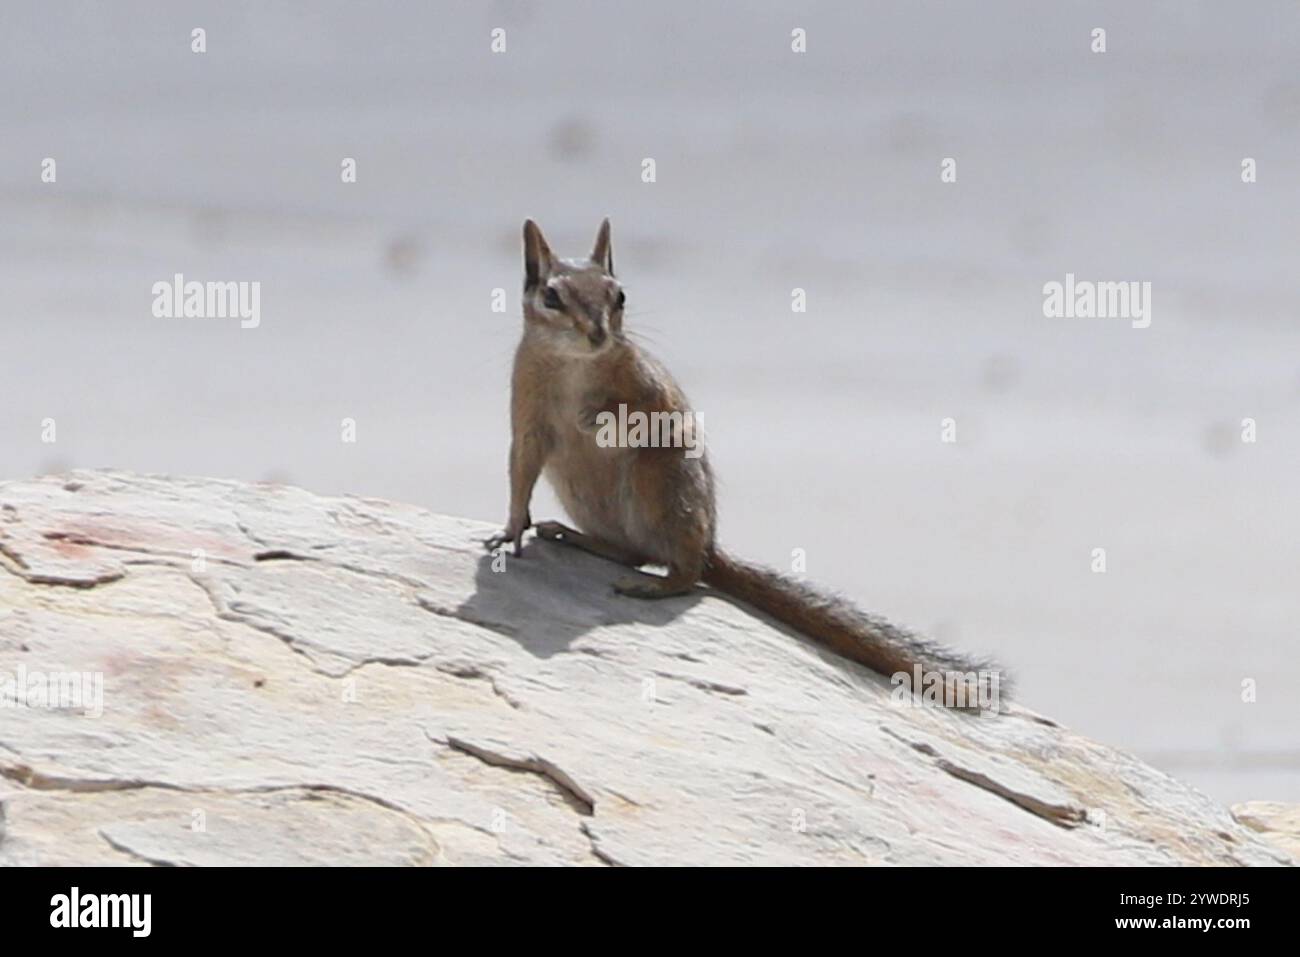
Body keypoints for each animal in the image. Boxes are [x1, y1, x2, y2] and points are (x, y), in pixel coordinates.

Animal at [485, 218, 1004, 703]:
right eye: (551, 296)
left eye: (620, 295)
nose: (597, 333)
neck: (575, 364)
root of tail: (710, 545)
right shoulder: (526, 413)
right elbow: (520, 470)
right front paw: (509, 532)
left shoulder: (649, 389)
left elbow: (640, 415)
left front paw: (598, 416)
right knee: (634, 552)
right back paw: (572, 536)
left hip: (660, 481)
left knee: (681, 569)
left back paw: (656, 585)